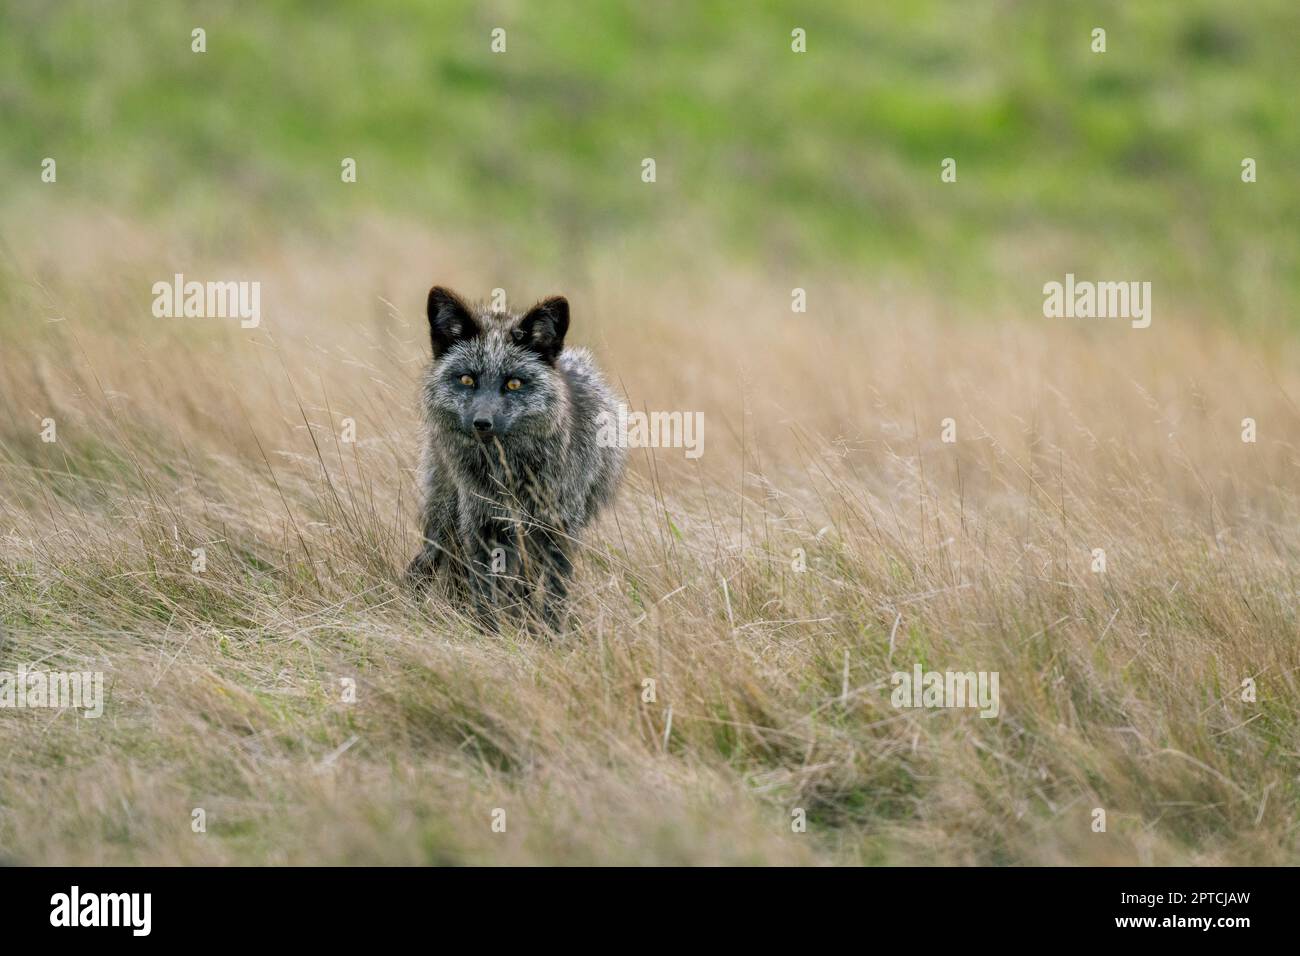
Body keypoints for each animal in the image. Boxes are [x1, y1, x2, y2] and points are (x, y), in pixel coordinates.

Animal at [406, 286, 625, 630]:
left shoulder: (558, 529)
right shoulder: (481, 523)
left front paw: (551, 635)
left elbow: (553, 593)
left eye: (514, 383)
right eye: (467, 380)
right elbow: (484, 589)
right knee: (429, 561)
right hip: (444, 518)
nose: (482, 423)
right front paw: (488, 632)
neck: (507, 472)